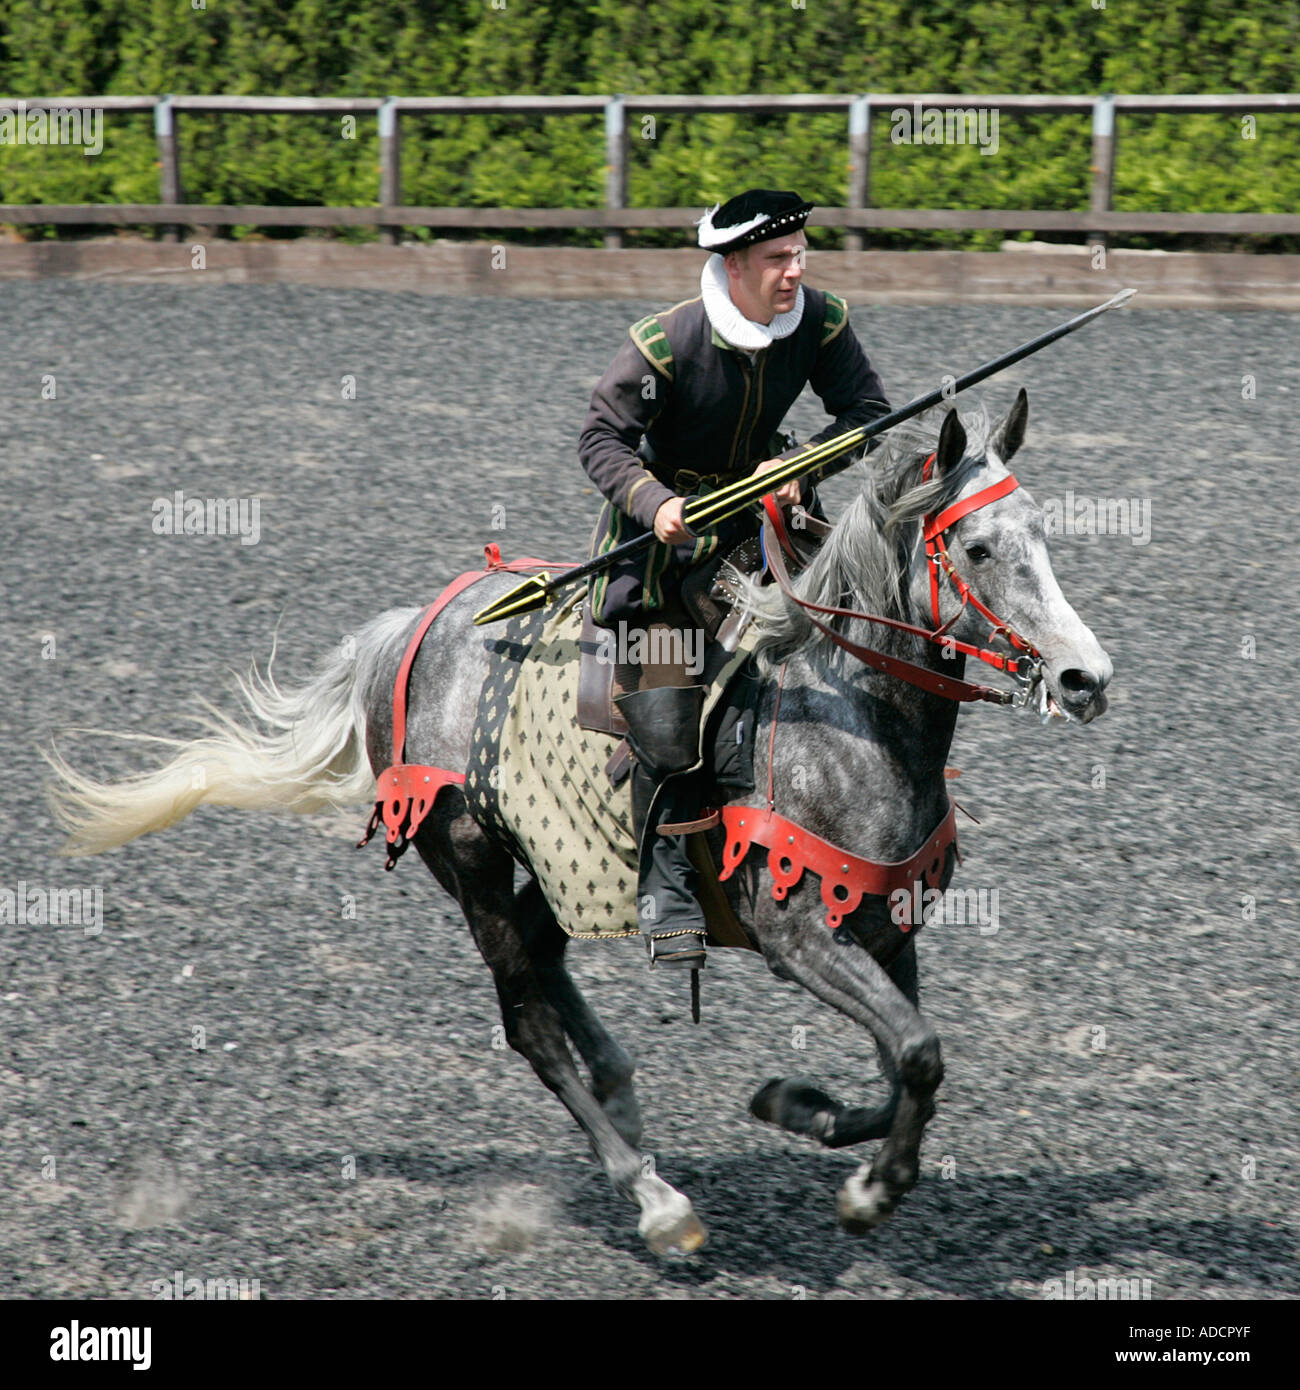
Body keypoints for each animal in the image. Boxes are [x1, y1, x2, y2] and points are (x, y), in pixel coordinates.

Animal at [48, 394, 1106, 1262]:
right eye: (976, 550)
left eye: (1043, 535)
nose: (1086, 677)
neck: (842, 711)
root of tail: (414, 627)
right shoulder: (799, 934)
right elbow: (917, 1054)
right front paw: (867, 1191)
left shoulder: (887, 928)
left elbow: (906, 1064)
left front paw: (802, 1112)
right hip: (465, 853)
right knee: (525, 1015)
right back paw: (653, 1198)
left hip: (565, 864)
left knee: (544, 963)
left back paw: (626, 1096)